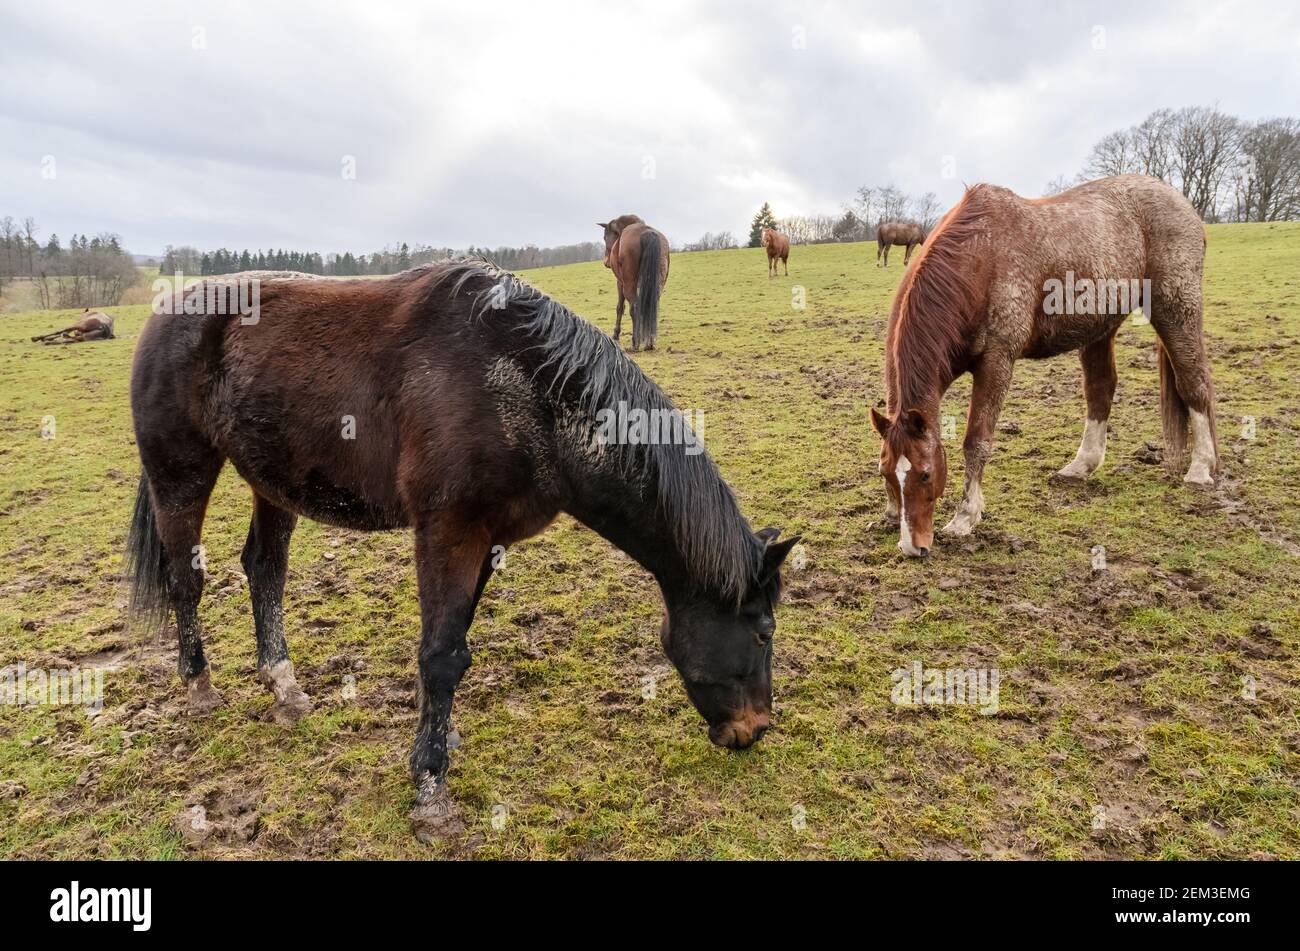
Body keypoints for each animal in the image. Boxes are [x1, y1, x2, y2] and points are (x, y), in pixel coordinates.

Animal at [125, 259, 799, 841]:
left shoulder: (489, 540)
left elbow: (455, 648)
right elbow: (441, 657)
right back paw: (200, 686)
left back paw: (284, 687)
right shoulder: (448, 532)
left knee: (265, 571)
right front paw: (430, 790)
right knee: (187, 580)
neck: (527, 391)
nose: (755, 730)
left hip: (274, 481)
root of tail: (167, 312)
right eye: (763, 632)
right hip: (180, 472)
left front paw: (439, 740)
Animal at [597, 215, 670, 351]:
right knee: (652, 305)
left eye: (605, 237)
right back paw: (649, 342)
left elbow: (620, 307)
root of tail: (647, 232)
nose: (605, 262)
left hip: (628, 284)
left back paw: (635, 342)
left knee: (635, 306)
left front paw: (616, 334)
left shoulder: (620, 282)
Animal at [870, 174, 1216, 558]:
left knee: (1193, 383)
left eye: (926, 474)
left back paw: (1201, 468)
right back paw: (1080, 466)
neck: (979, 259)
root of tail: (1178, 201)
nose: (913, 547)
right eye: (887, 473)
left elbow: (977, 441)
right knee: (1101, 390)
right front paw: (890, 514)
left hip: (1176, 310)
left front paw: (965, 517)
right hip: (1100, 327)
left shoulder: (997, 362)